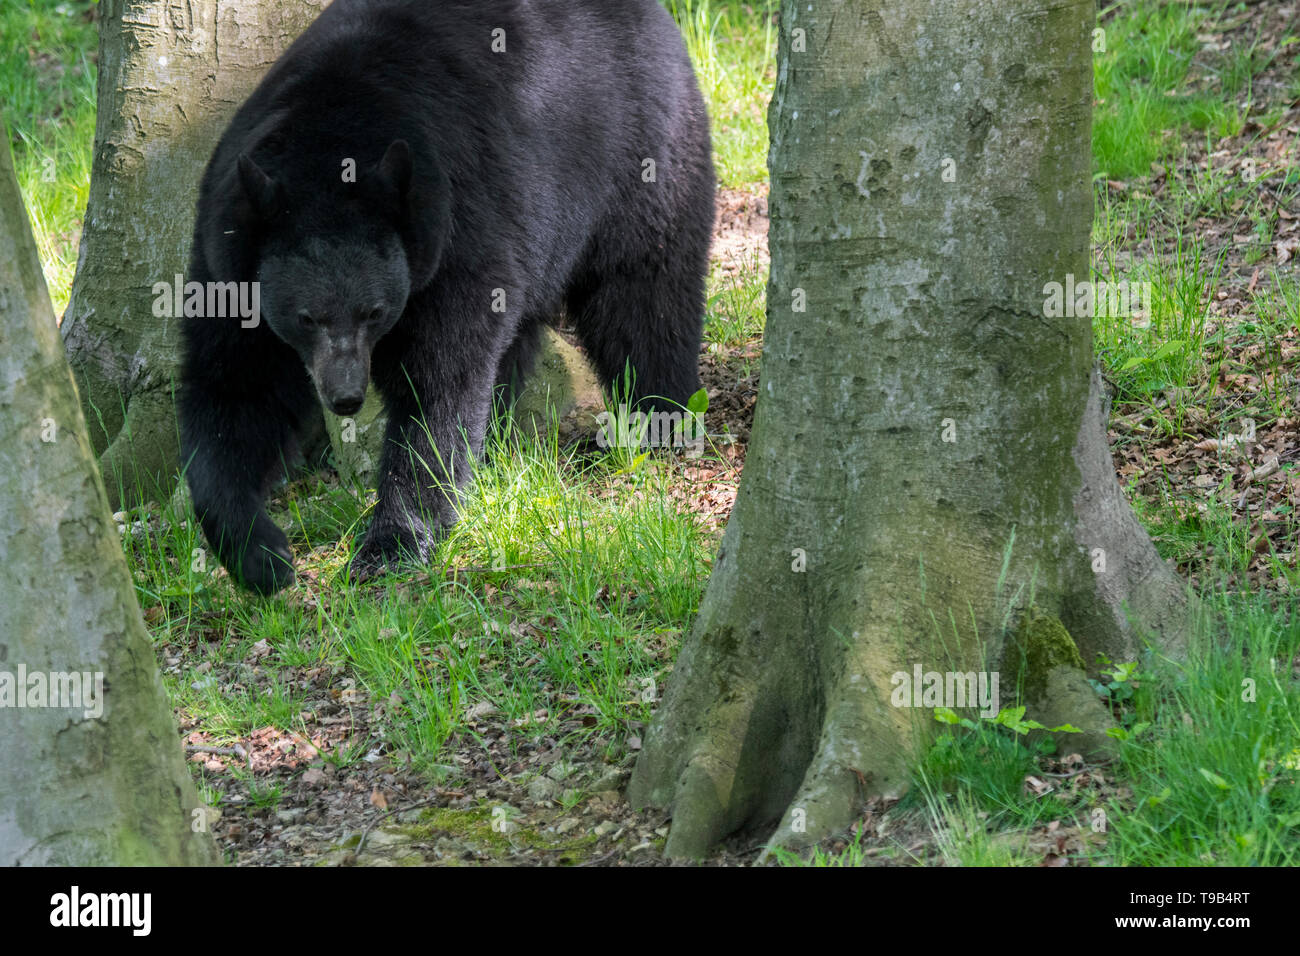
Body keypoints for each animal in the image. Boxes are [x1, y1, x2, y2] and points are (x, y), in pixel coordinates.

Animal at [178, 0, 715, 595]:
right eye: (305, 317)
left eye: (373, 312)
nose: (345, 397)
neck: (330, 142)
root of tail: (654, 17)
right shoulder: (231, 259)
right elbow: (235, 387)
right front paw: (259, 553)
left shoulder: (457, 229)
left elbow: (438, 383)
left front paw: (391, 543)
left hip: (641, 162)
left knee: (645, 301)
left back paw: (664, 418)